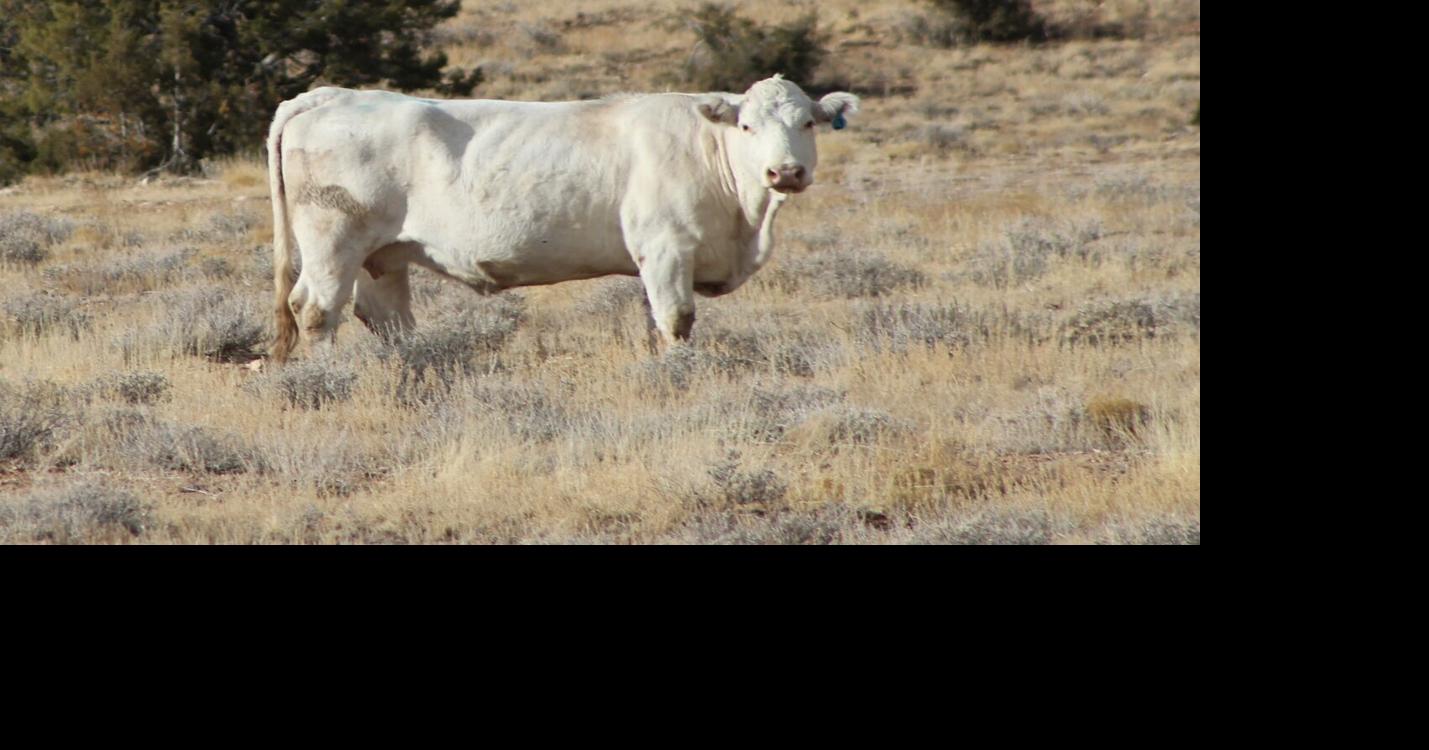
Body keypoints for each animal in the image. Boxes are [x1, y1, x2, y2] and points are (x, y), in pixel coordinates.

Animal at [266, 74, 860, 362]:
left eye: (808, 122)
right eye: (747, 127)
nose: (785, 172)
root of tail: (331, 94)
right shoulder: (666, 249)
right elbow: (676, 321)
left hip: (382, 255)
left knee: (387, 318)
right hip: (333, 240)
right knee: (315, 310)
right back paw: (328, 379)